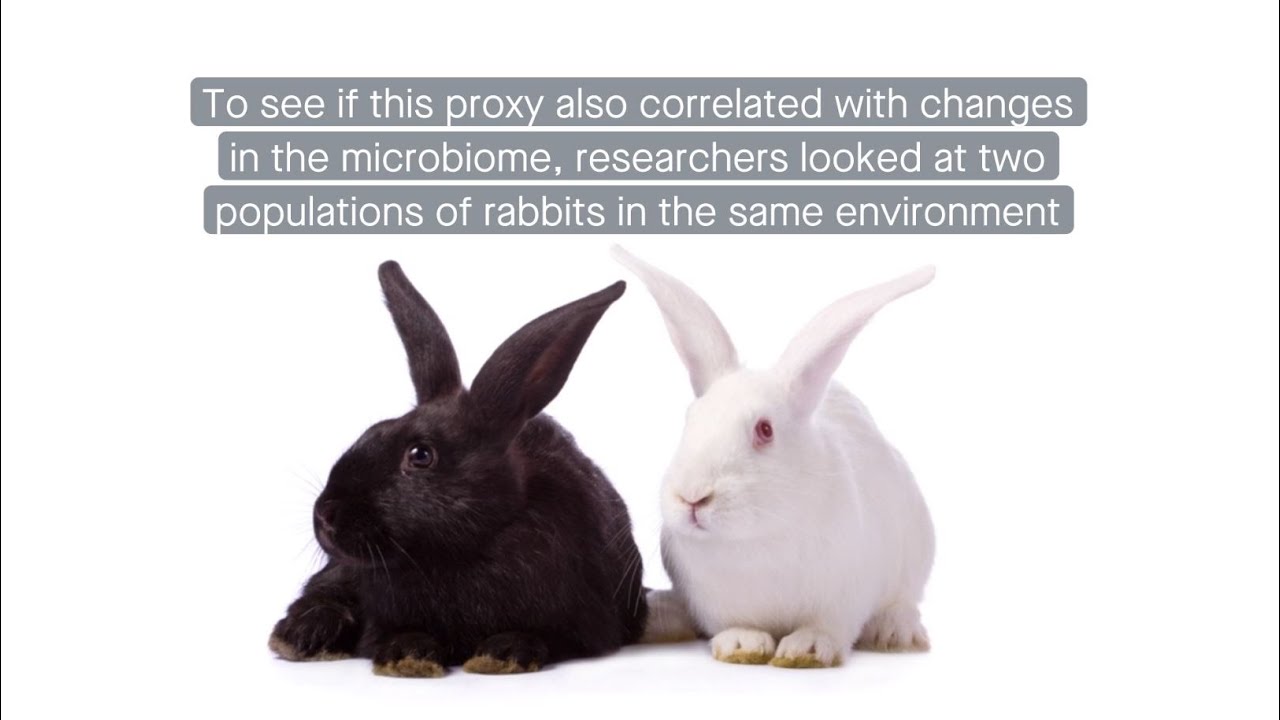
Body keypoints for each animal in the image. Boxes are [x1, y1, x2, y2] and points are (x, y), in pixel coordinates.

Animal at [268, 261, 647, 677]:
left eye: (420, 455)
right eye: (371, 432)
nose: (325, 515)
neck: (457, 550)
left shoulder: (586, 625)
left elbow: (542, 637)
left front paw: (501, 654)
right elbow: (395, 633)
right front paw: (408, 656)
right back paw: (299, 635)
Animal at [612, 246, 935, 669]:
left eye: (764, 430)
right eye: (689, 420)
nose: (693, 497)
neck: (757, 538)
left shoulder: (845, 598)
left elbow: (828, 628)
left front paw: (806, 651)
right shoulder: (714, 603)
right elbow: (735, 627)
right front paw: (742, 645)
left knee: (904, 600)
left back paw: (896, 633)